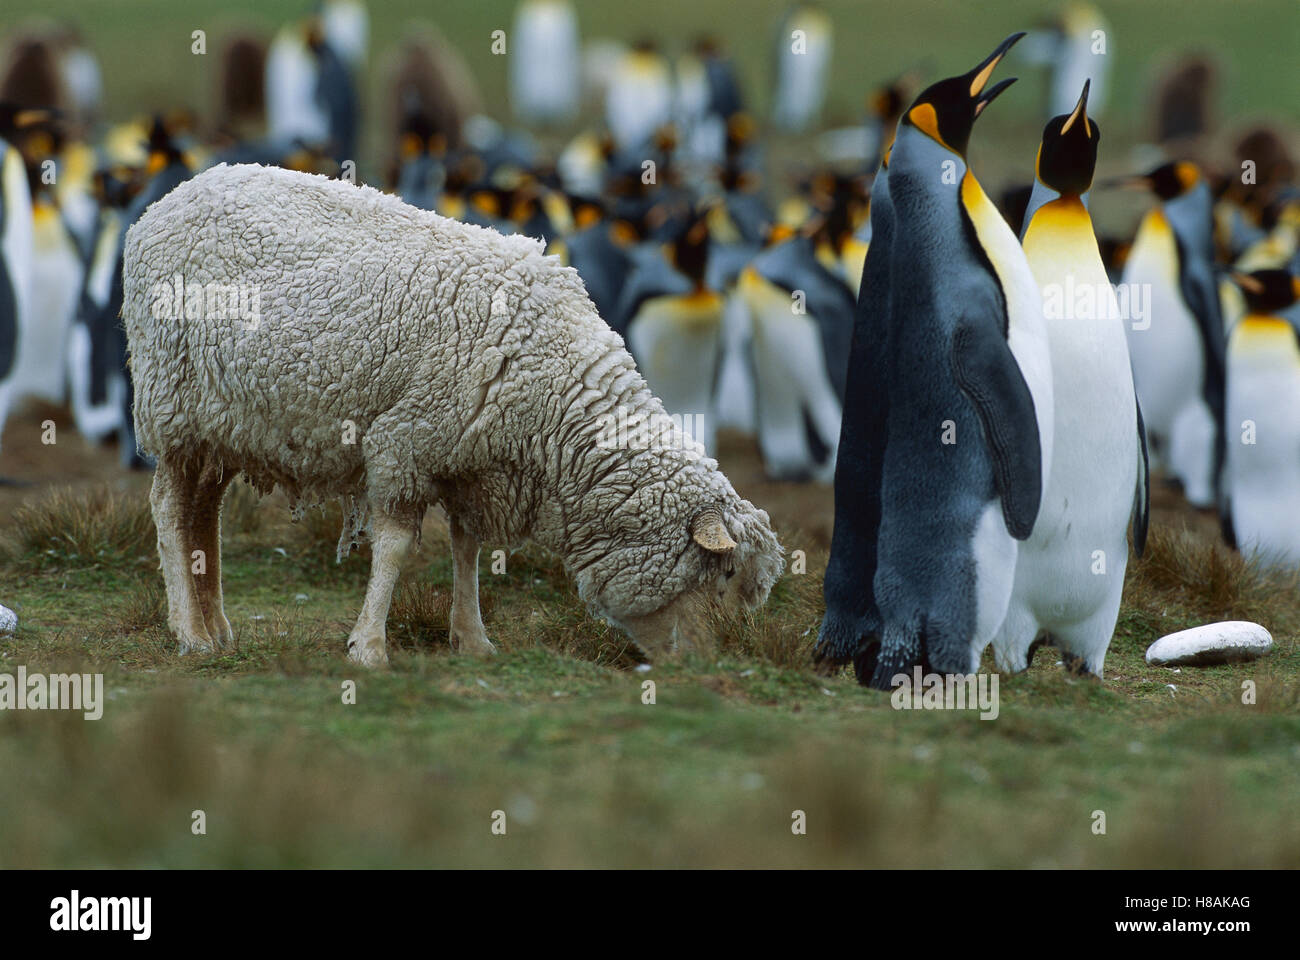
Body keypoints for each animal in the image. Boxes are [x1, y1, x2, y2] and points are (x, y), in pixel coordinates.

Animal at [122, 163, 784, 665]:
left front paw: (472, 639)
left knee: (203, 515)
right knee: (170, 510)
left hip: (219, 424)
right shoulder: (403, 443)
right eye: (723, 578)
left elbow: (467, 550)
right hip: (171, 400)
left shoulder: (473, 463)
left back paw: (217, 630)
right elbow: (394, 547)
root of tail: (170, 200)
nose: (707, 667)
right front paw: (369, 646)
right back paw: (189, 634)